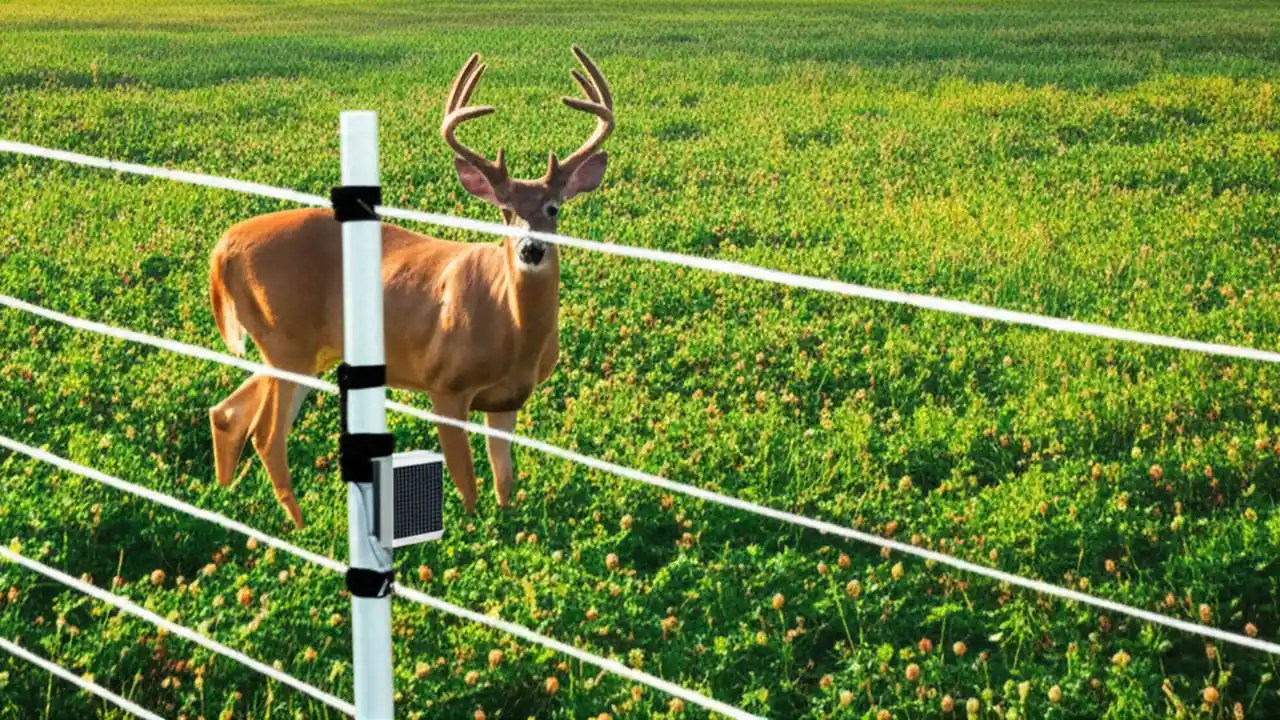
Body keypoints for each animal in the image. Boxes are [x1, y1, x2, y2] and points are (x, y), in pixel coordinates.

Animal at [206, 46, 614, 528]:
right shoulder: (445, 384)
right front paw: (472, 530)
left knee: (228, 411)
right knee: (267, 433)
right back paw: (299, 527)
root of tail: (223, 249)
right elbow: (467, 483)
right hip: (287, 340)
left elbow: (504, 483)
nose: (530, 249)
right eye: (505, 211)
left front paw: (506, 527)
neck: (514, 334)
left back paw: (226, 499)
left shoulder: (507, 399)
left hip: (302, 350)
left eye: (554, 208)